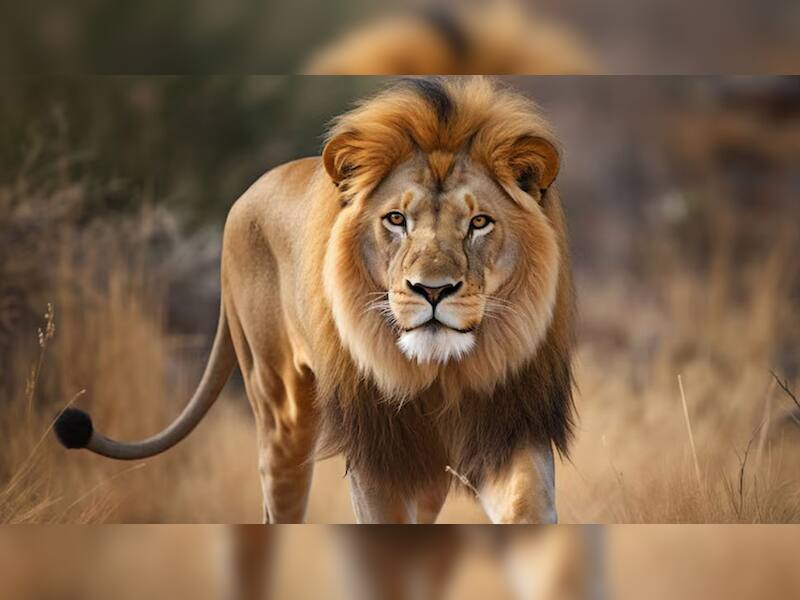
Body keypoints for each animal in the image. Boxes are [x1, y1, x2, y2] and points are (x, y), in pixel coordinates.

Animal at [54, 77, 576, 524]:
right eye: (396, 219)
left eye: (479, 223)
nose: (432, 290)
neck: (441, 375)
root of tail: (246, 194)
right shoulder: (379, 453)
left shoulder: (513, 427)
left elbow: (529, 511)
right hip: (279, 403)